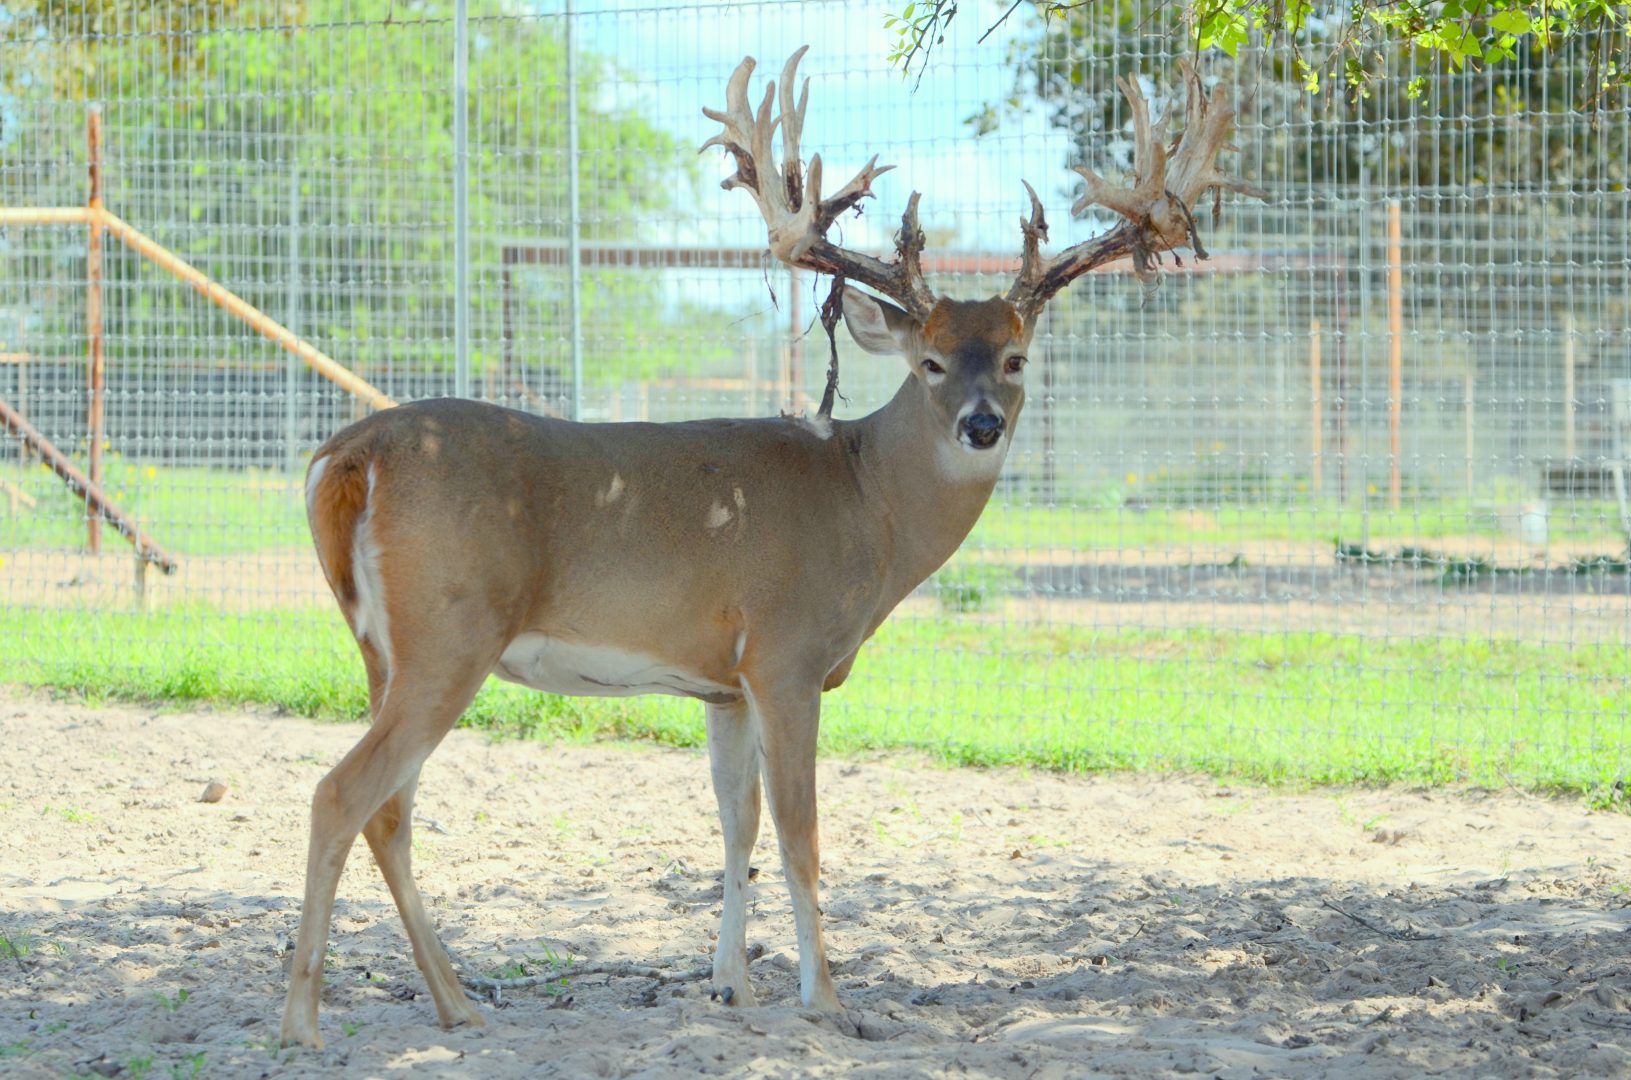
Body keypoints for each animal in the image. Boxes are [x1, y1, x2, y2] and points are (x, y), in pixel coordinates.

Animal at [278, 47, 1264, 1049]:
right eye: (930, 363)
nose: (982, 425)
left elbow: (736, 827)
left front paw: (730, 985)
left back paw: (456, 1003)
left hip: (380, 646)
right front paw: (824, 998)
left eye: (1015, 358)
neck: (866, 506)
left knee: (388, 811)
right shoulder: (788, 654)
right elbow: (802, 833)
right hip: (450, 632)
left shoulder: (723, 681)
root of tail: (347, 455)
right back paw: (304, 1022)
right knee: (340, 794)